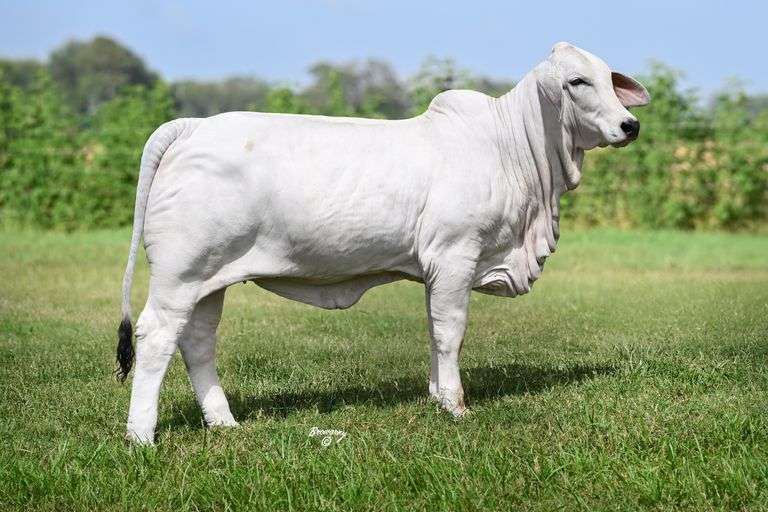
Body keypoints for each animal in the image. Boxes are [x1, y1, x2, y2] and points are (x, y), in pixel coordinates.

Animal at [117, 42, 650, 444]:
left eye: (609, 78)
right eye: (577, 82)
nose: (631, 125)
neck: (513, 148)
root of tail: (191, 126)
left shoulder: (436, 269)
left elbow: (433, 329)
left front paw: (436, 395)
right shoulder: (456, 255)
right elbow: (450, 331)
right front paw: (456, 406)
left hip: (210, 280)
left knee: (198, 341)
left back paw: (224, 422)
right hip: (179, 274)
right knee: (156, 336)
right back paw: (141, 435)